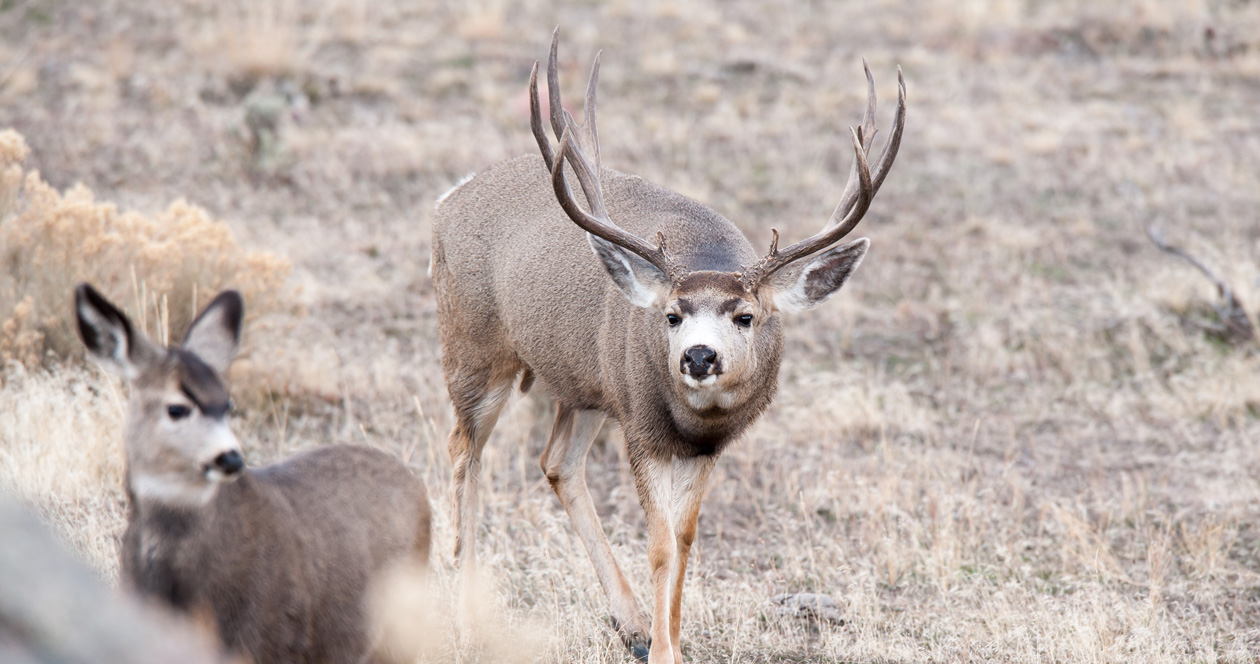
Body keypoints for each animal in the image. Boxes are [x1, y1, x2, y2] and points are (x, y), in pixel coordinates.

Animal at [430, 31, 904, 664]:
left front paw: (667, 638)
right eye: (672, 315)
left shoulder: (704, 447)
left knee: (556, 462)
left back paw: (628, 623)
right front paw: (662, 651)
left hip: (587, 382)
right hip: (475, 346)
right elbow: (658, 544)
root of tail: (448, 199)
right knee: (464, 452)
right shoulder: (643, 427)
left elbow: (684, 539)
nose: (699, 357)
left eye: (746, 316)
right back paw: (466, 618)